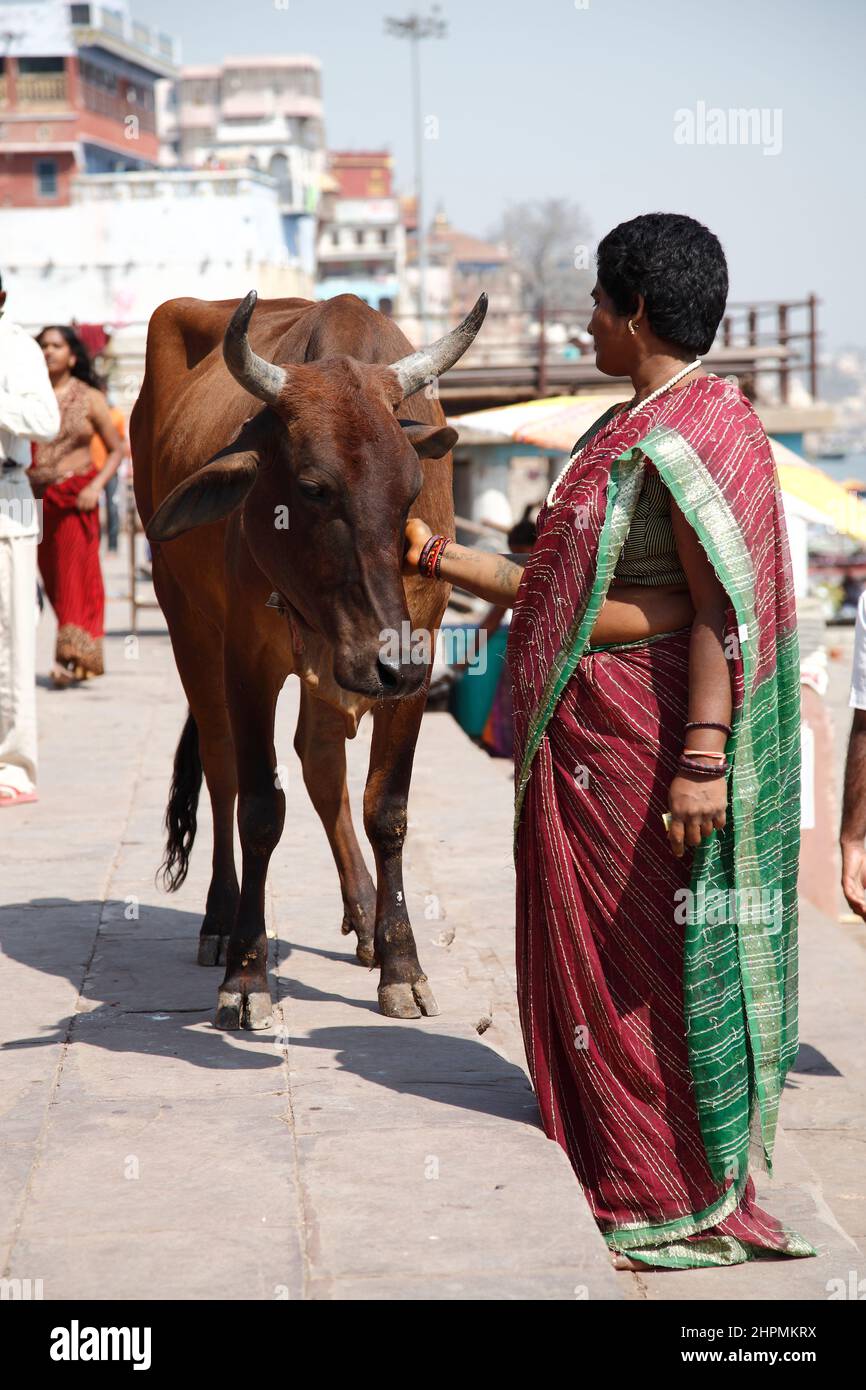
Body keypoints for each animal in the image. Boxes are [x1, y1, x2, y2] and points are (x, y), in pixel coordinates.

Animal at [130, 289, 487, 1030]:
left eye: (411, 487)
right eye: (314, 487)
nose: (385, 664)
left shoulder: (416, 650)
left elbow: (387, 809)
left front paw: (402, 963)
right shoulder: (247, 660)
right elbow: (261, 807)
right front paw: (246, 976)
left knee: (323, 765)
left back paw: (365, 916)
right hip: (188, 628)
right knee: (222, 769)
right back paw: (219, 920)